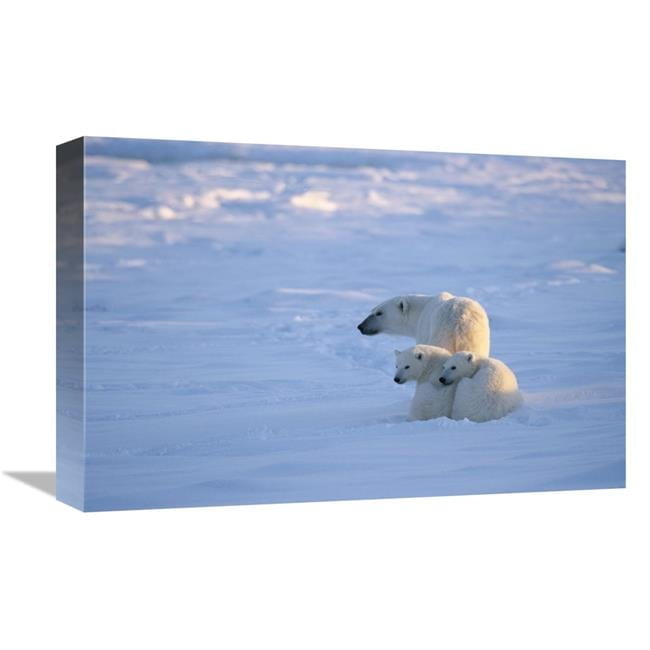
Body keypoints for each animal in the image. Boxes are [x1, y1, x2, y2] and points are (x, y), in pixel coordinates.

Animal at [357, 292, 490, 357]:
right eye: (373, 310)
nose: (360, 326)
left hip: (442, 334)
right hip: (477, 340)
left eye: (379, 313)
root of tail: (461, 321)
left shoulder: (423, 330)